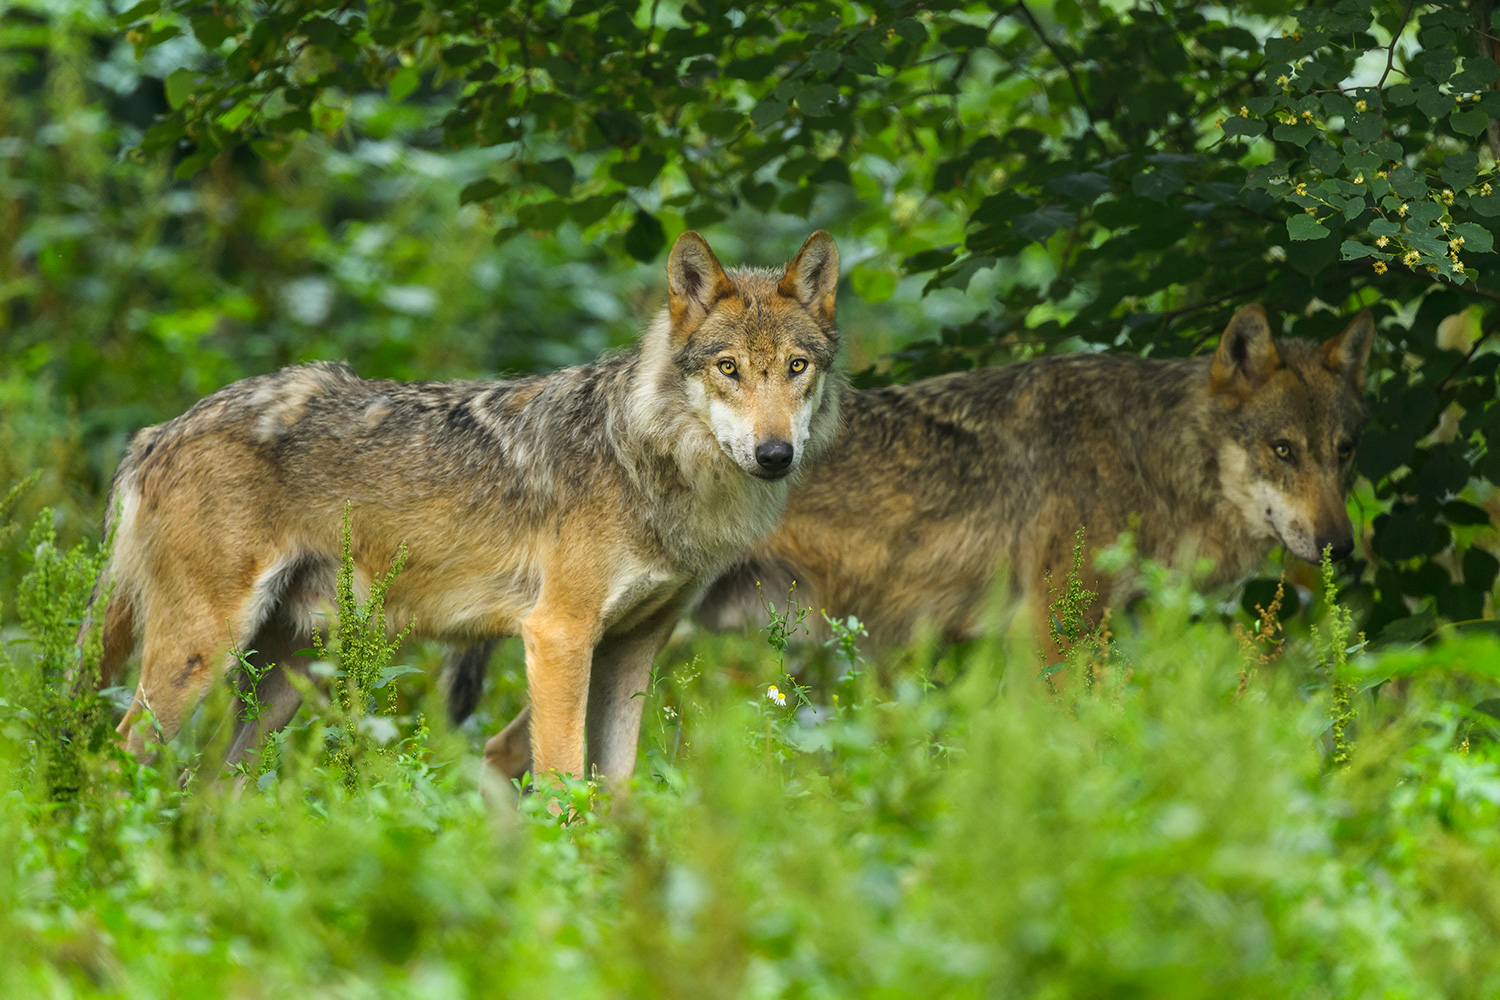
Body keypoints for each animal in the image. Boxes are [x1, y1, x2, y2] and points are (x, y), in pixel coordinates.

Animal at [84, 229, 845, 786]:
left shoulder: (632, 649)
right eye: (728, 369)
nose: (775, 453)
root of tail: (158, 432)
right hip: (199, 657)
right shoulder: (557, 637)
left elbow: (618, 789)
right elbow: (564, 786)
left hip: (284, 679)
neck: (650, 460)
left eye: (797, 368)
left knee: (210, 784)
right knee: (117, 761)